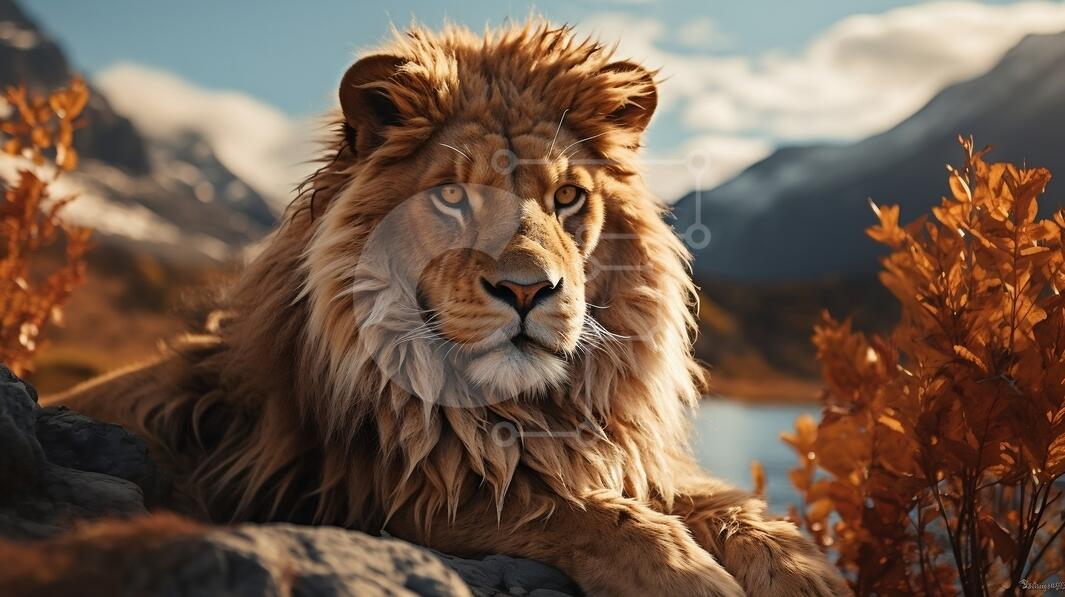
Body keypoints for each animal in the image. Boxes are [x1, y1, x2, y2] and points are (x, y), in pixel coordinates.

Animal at [49, 22, 849, 596]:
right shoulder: (373, 487)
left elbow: (726, 507)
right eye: (452, 196)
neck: (521, 406)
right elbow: (571, 508)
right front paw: (688, 575)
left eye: (567, 197)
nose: (528, 291)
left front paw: (803, 572)